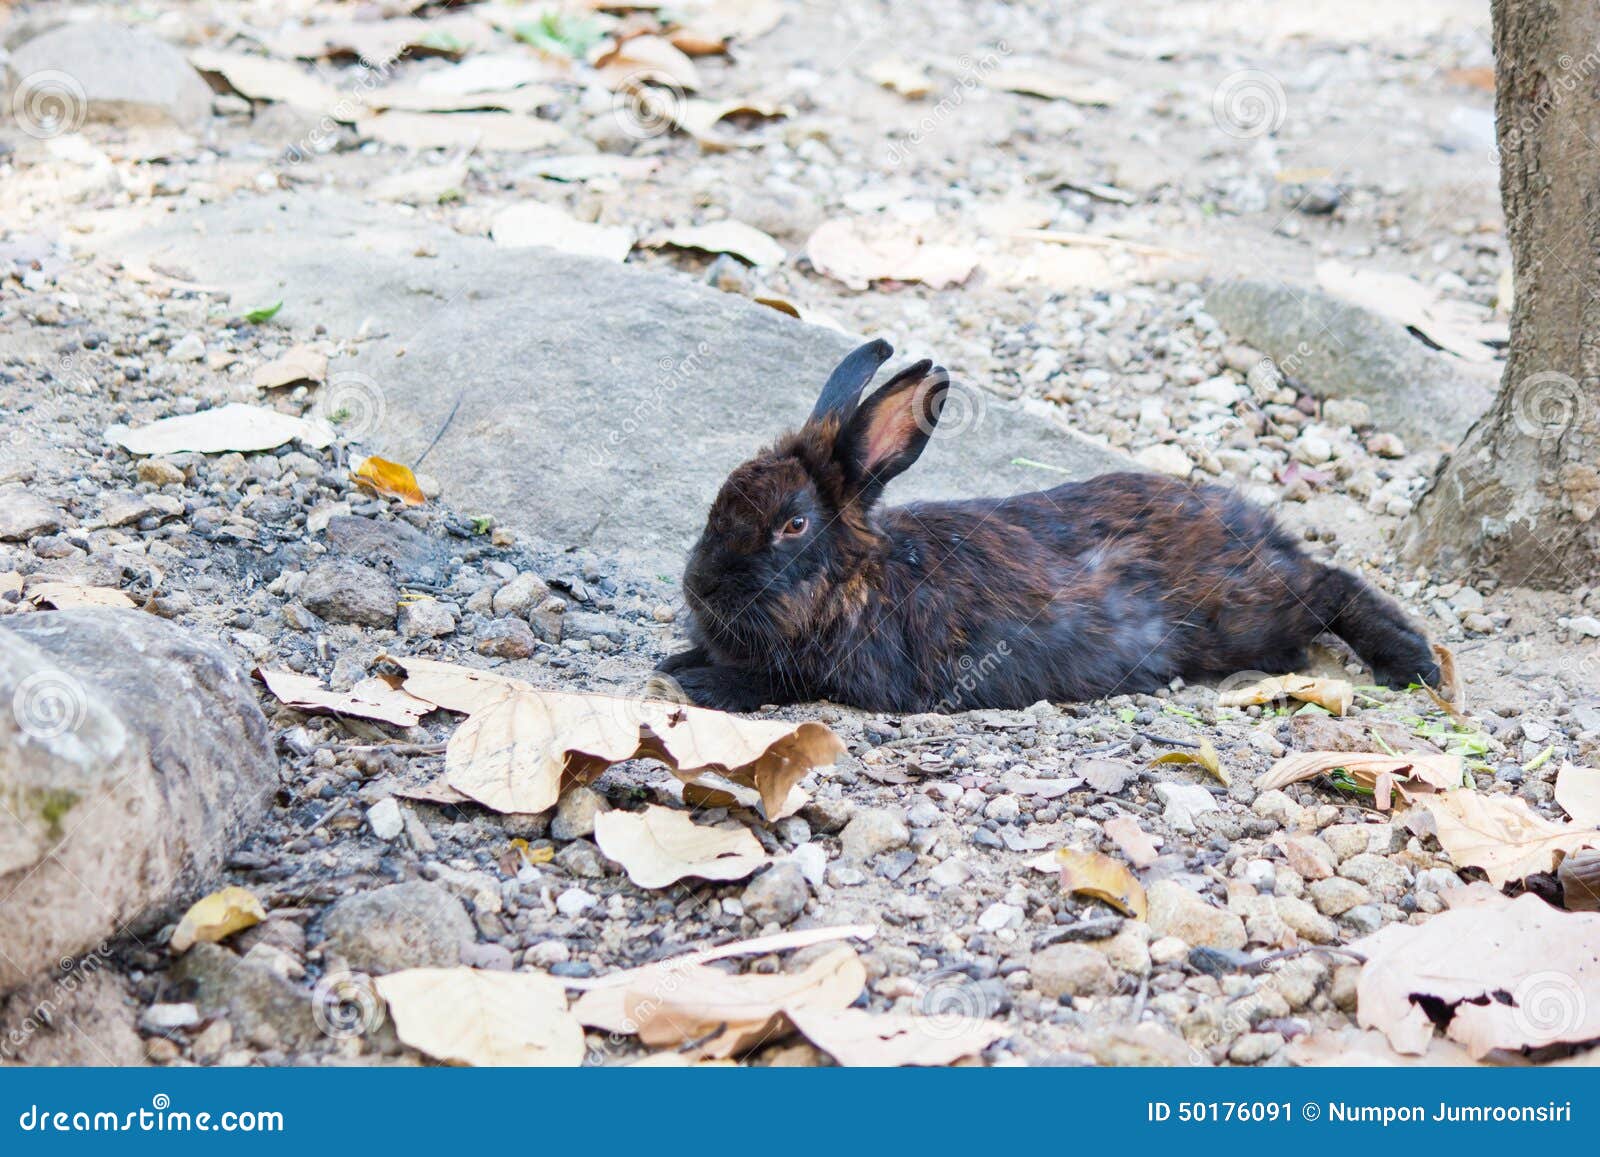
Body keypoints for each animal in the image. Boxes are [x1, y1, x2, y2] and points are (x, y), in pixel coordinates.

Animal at [653, 339, 1441, 713]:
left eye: (793, 524)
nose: (699, 587)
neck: (856, 578)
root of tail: (1261, 528)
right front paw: (679, 661)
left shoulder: (856, 675)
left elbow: (776, 684)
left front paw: (701, 682)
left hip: (1250, 610)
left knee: (1329, 585)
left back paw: (1413, 664)